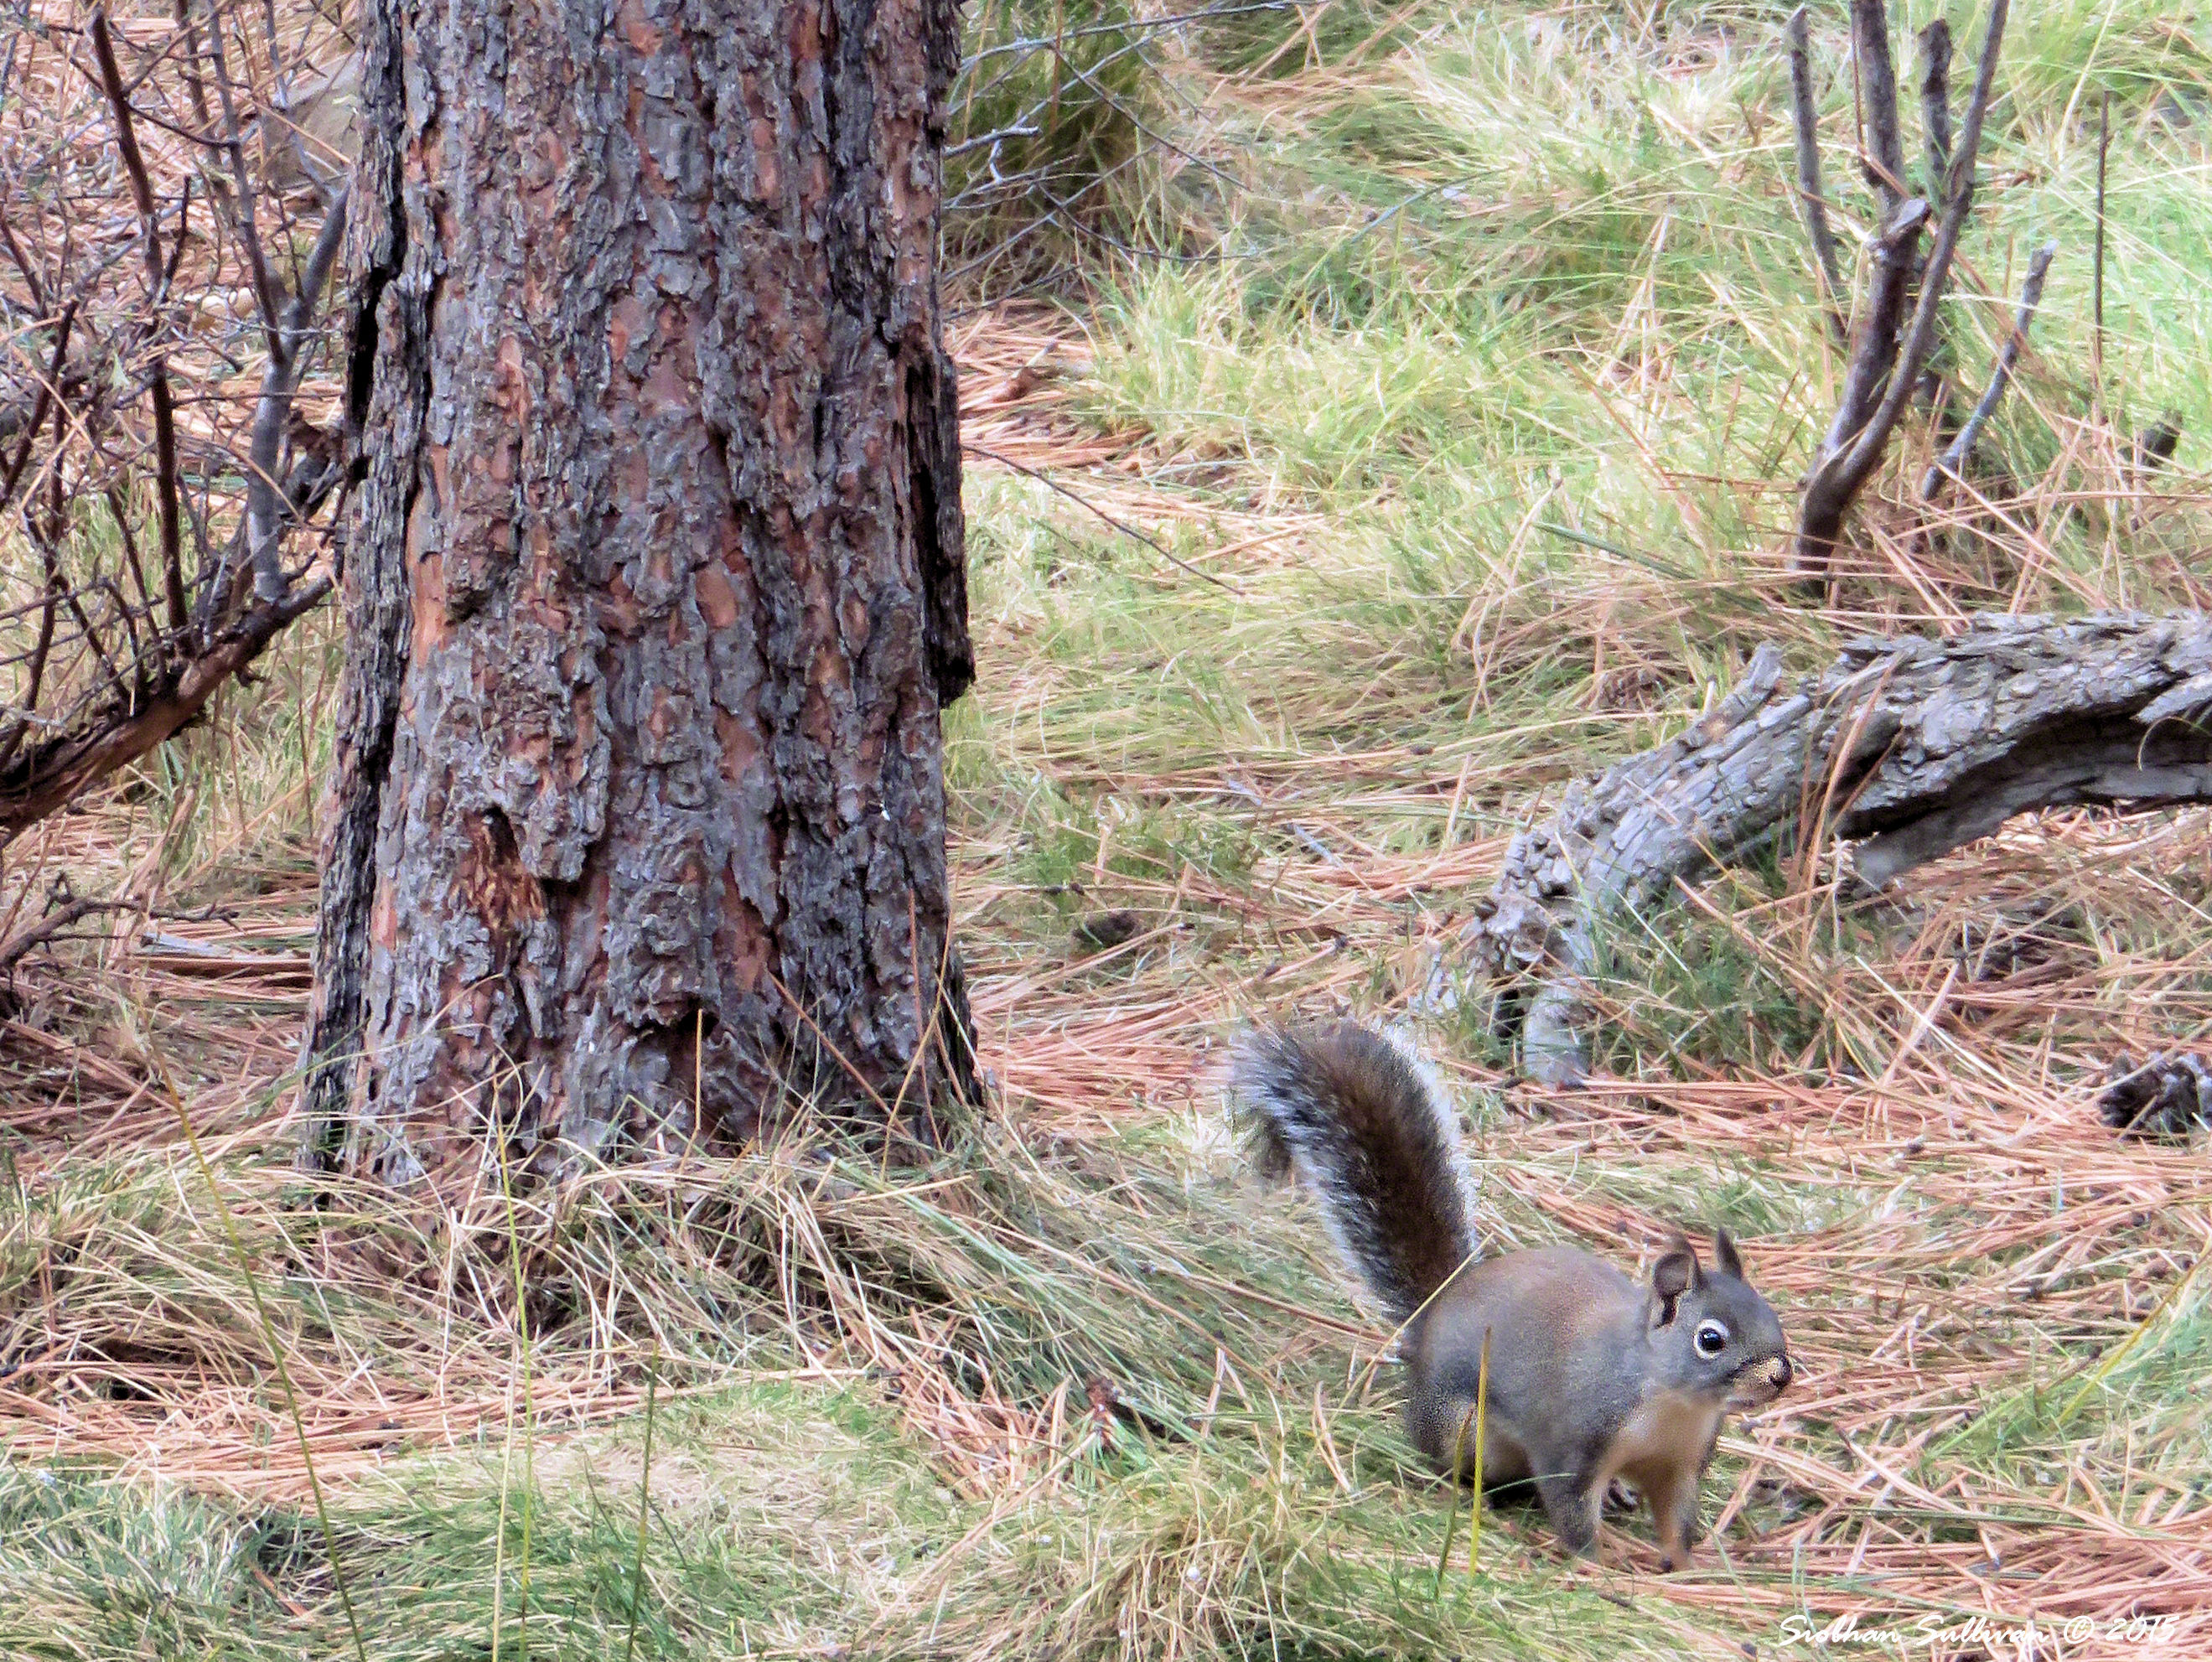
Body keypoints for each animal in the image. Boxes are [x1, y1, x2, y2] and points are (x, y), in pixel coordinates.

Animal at [1233, 1018, 1792, 1571]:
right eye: (1710, 1339)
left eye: (1773, 1317)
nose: (1781, 1376)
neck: (1673, 1403)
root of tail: (1436, 1312)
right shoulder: (1571, 1440)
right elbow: (1571, 1509)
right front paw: (1596, 1566)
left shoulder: (1680, 1463)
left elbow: (1677, 1520)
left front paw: (1689, 1567)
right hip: (1456, 1423)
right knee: (1447, 1458)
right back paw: (1463, 1491)